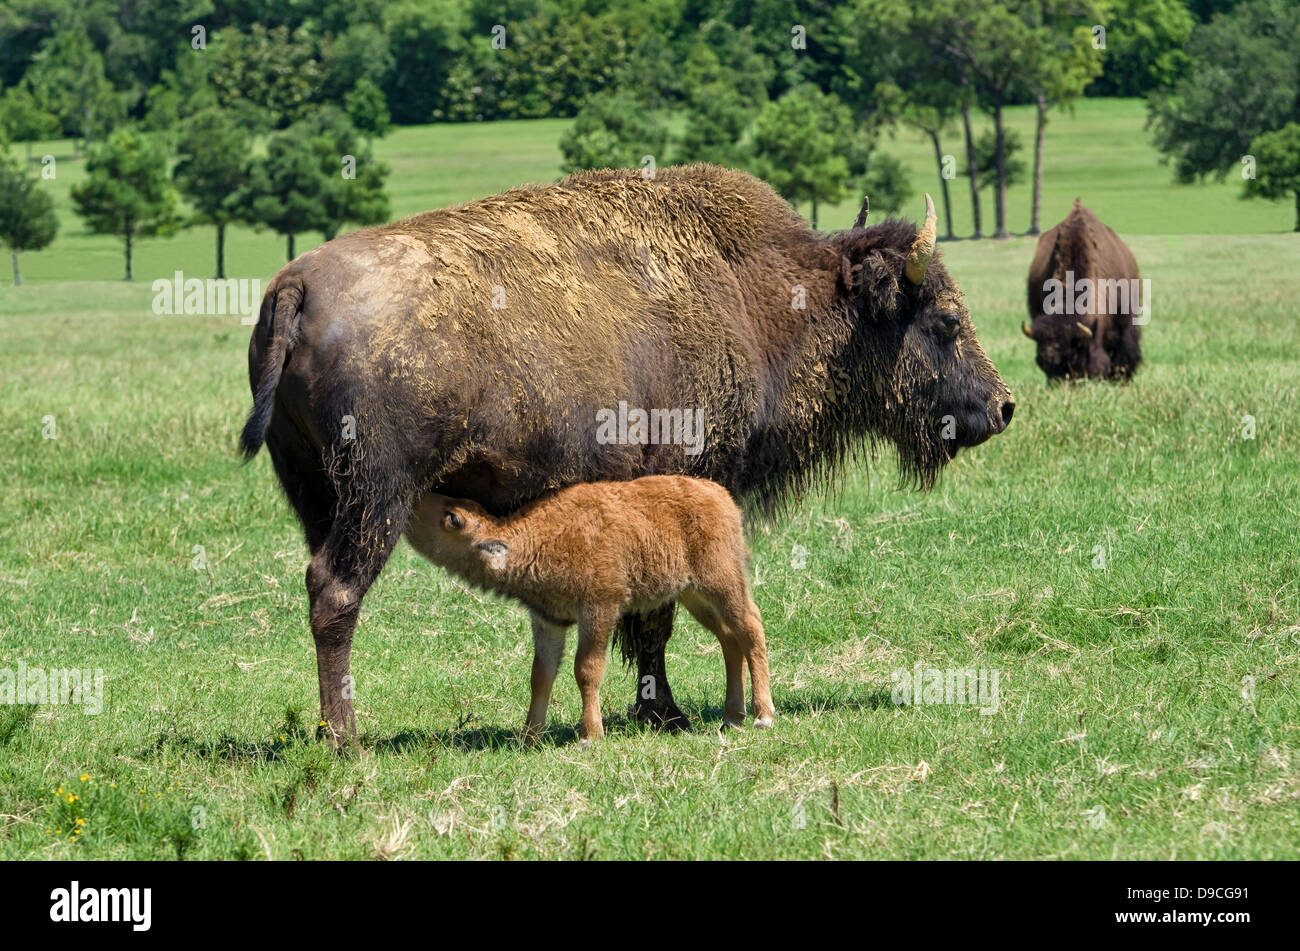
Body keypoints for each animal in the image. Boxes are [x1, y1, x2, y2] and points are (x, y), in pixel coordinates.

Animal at [239, 164, 1015, 748]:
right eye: (946, 320)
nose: (1004, 405)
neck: (758, 299)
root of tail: (295, 287)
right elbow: (656, 619)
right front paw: (663, 713)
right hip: (378, 496)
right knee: (337, 591)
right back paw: (346, 739)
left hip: (317, 494)